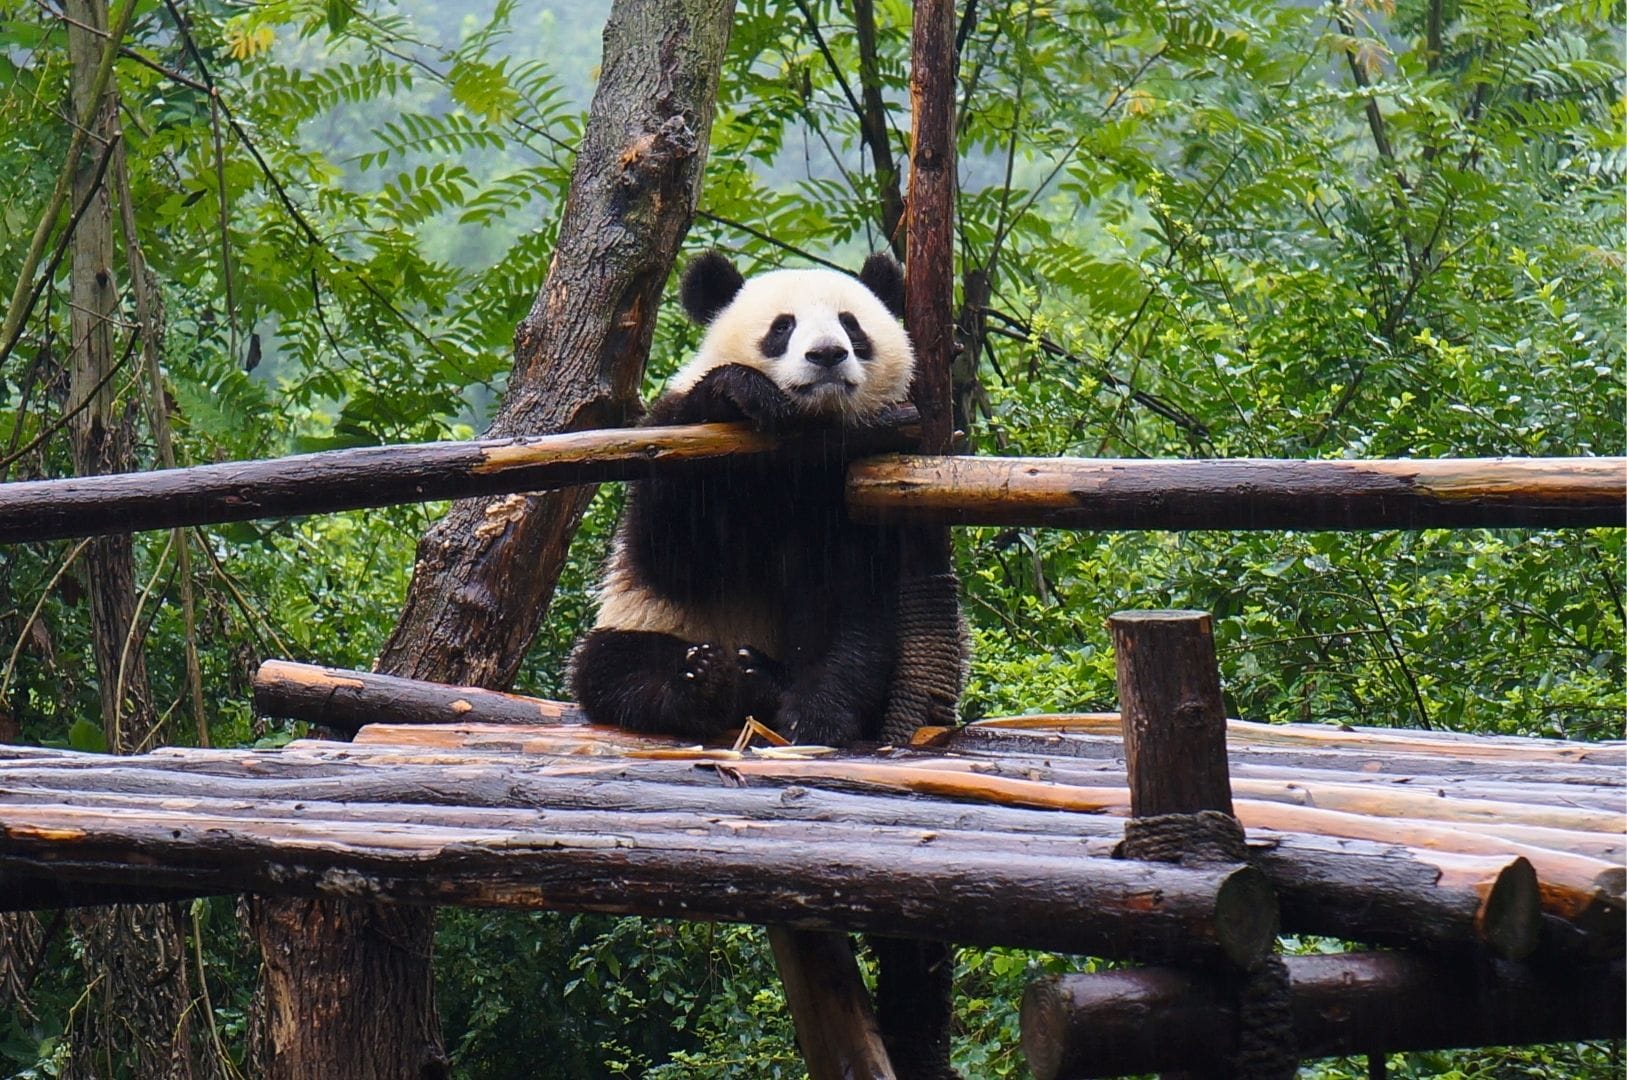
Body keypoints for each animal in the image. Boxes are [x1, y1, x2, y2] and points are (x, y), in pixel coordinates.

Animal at [568, 250, 914, 746]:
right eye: (782, 327)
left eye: (851, 325)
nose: (827, 354)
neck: (803, 434)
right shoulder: (674, 435)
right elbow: (674, 556)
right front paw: (739, 392)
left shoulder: (863, 478)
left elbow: (853, 609)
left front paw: (815, 716)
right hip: (646, 620)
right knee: (614, 665)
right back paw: (704, 683)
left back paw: (759, 678)